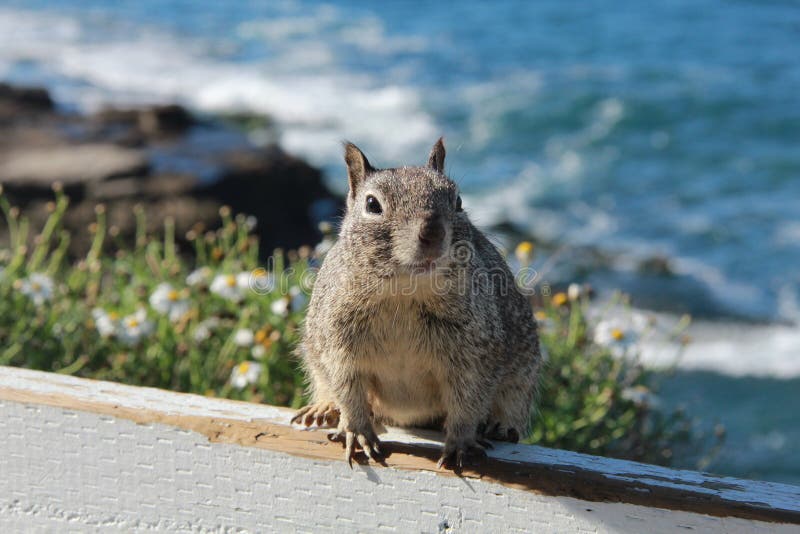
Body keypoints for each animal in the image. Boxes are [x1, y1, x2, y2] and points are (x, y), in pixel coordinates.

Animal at [292, 138, 541, 469]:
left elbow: (469, 400)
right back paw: (323, 407)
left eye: (458, 201)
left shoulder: (476, 353)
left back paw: (501, 425)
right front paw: (357, 431)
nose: (434, 233)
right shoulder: (338, 347)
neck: (404, 294)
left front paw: (460, 442)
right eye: (372, 205)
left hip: (523, 369)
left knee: (514, 400)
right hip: (314, 354)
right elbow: (349, 393)